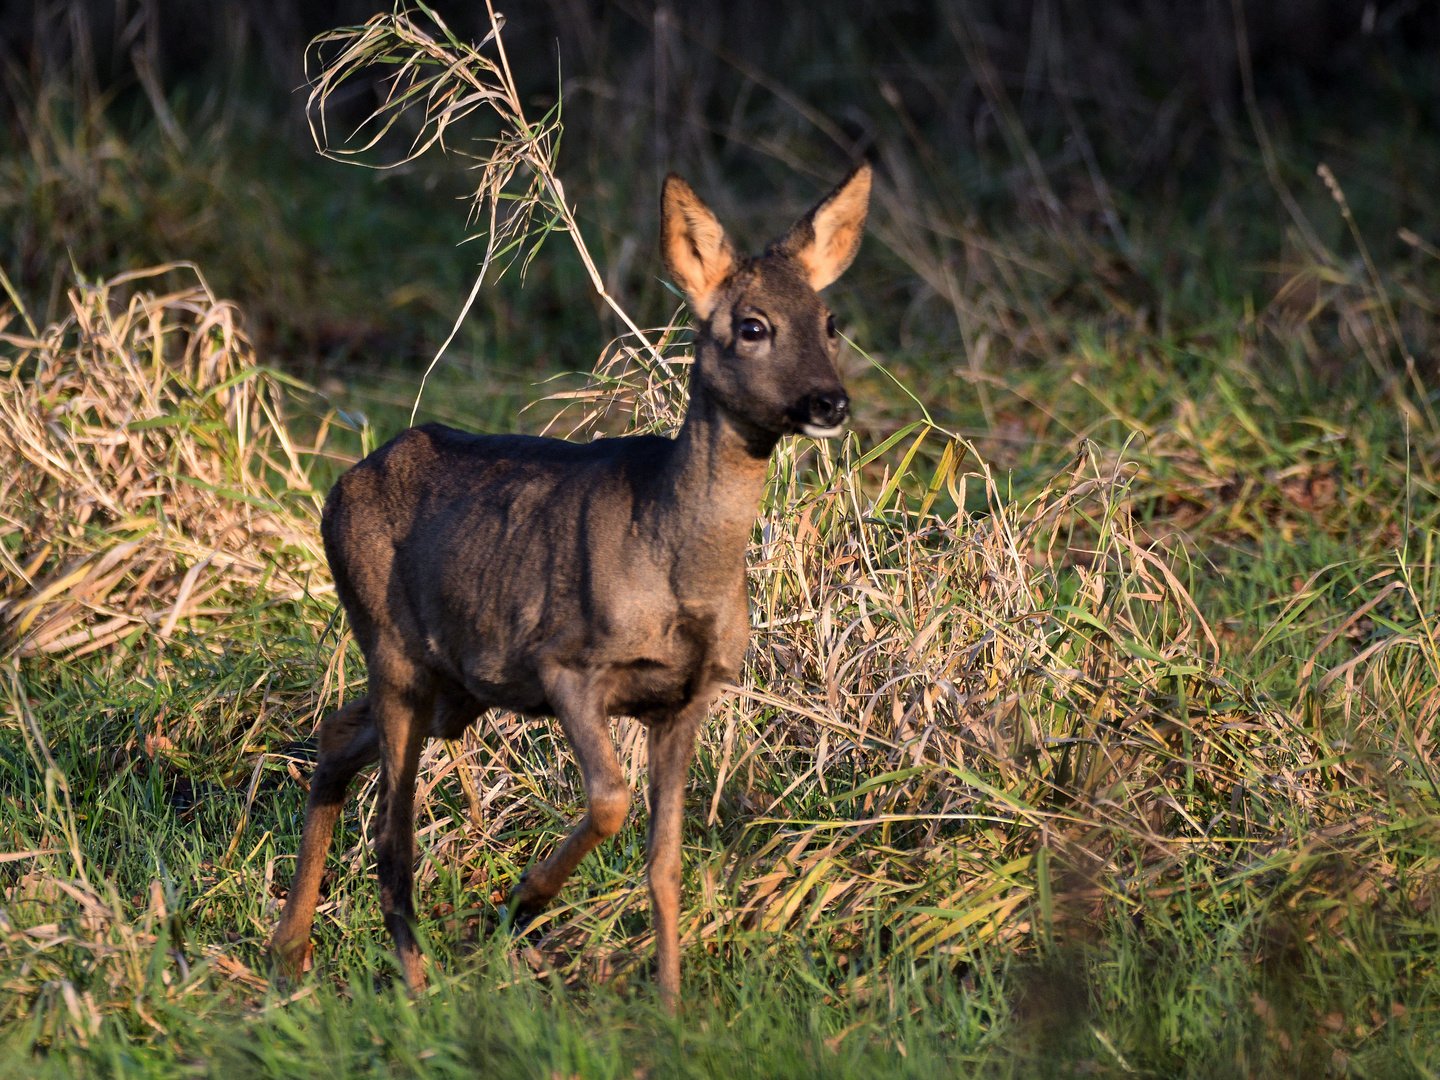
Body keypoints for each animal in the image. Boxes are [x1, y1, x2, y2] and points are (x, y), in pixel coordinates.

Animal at [267, 162, 872, 1012]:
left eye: (830, 320)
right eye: (753, 326)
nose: (829, 402)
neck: (678, 569)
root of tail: (338, 487)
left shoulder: (690, 695)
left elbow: (665, 862)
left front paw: (671, 1004)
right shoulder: (565, 664)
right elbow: (610, 800)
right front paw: (520, 903)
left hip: (455, 684)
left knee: (334, 737)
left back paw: (288, 953)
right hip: (389, 642)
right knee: (392, 827)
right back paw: (416, 987)